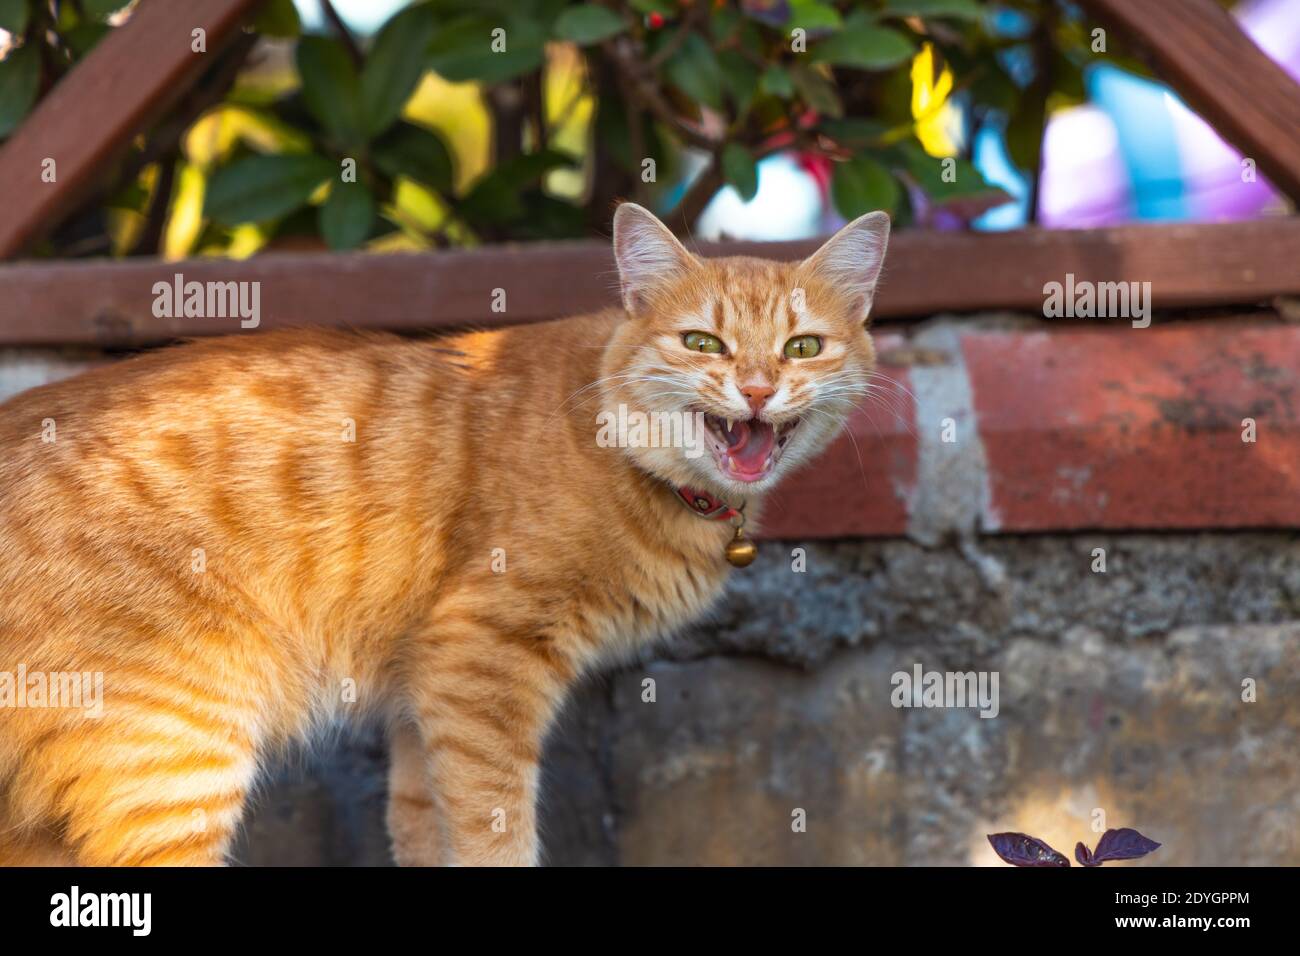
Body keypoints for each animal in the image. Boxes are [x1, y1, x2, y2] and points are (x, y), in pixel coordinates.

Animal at [0, 204, 883, 868]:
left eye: (803, 347)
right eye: (704, 342)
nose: (758, 389)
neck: (617, 444)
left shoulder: (423, 708)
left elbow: (428, 830)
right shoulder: (481, 659)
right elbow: (500, 834)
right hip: (175, 753)